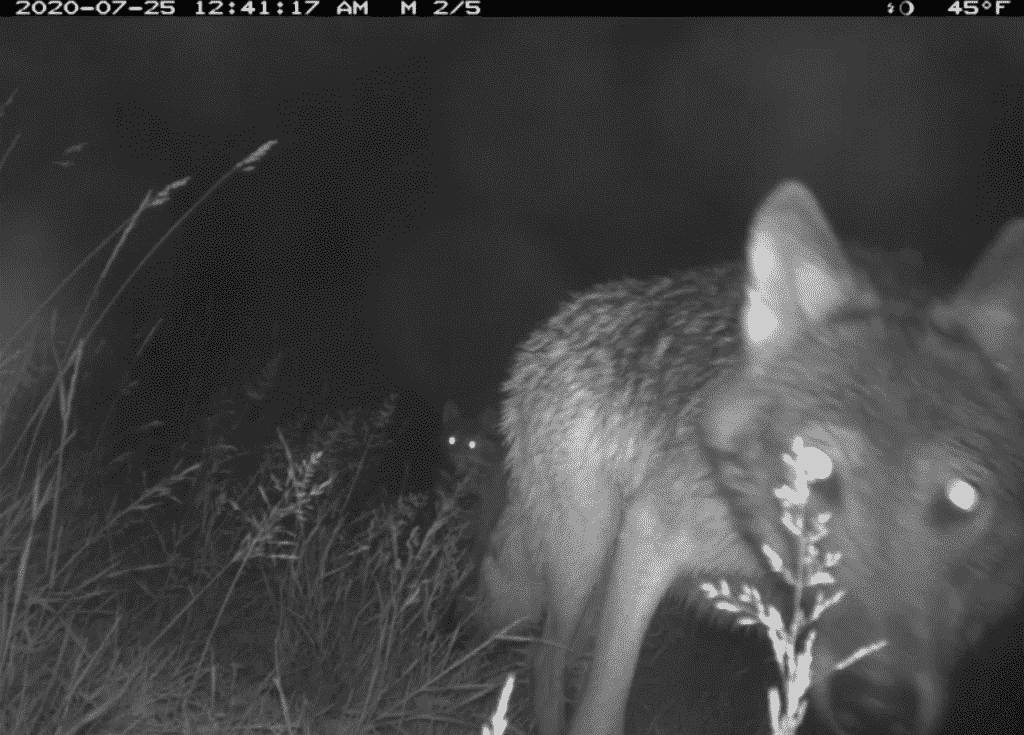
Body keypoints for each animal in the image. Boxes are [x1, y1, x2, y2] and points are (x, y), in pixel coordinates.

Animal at [479, 180, 1024, 735]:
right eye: (815, 468)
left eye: (963, 497)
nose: (874, 706)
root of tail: (553, 327)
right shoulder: (647, 539)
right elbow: (601, 711)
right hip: (582, 560)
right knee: (543, 660)